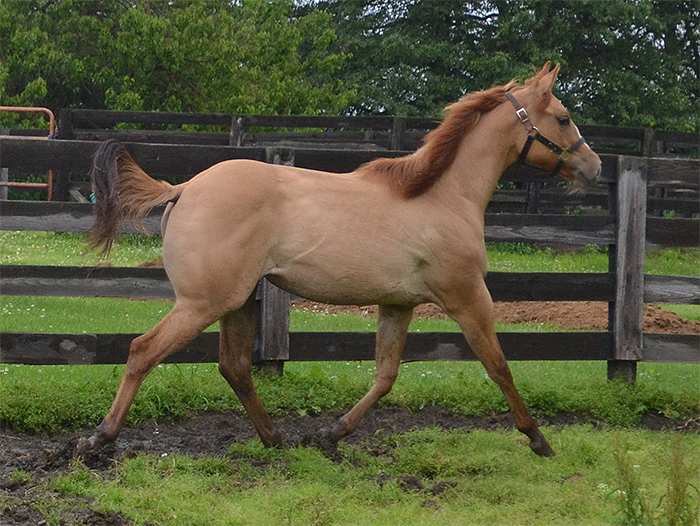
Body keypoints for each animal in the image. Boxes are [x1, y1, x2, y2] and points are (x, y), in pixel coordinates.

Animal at [76, 62, 601, 458]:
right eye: (563, 117)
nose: (593, 167)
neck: (442, 196)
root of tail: (183, 187)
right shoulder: (468, 298)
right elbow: (499, 366)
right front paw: (538, 438)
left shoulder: (398, 305)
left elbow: (386, 376)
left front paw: (331, 434)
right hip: (202, 303)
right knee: (143, 351)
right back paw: (99, 438)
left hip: (237, 302)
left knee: (235, 367)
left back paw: (276, 438)